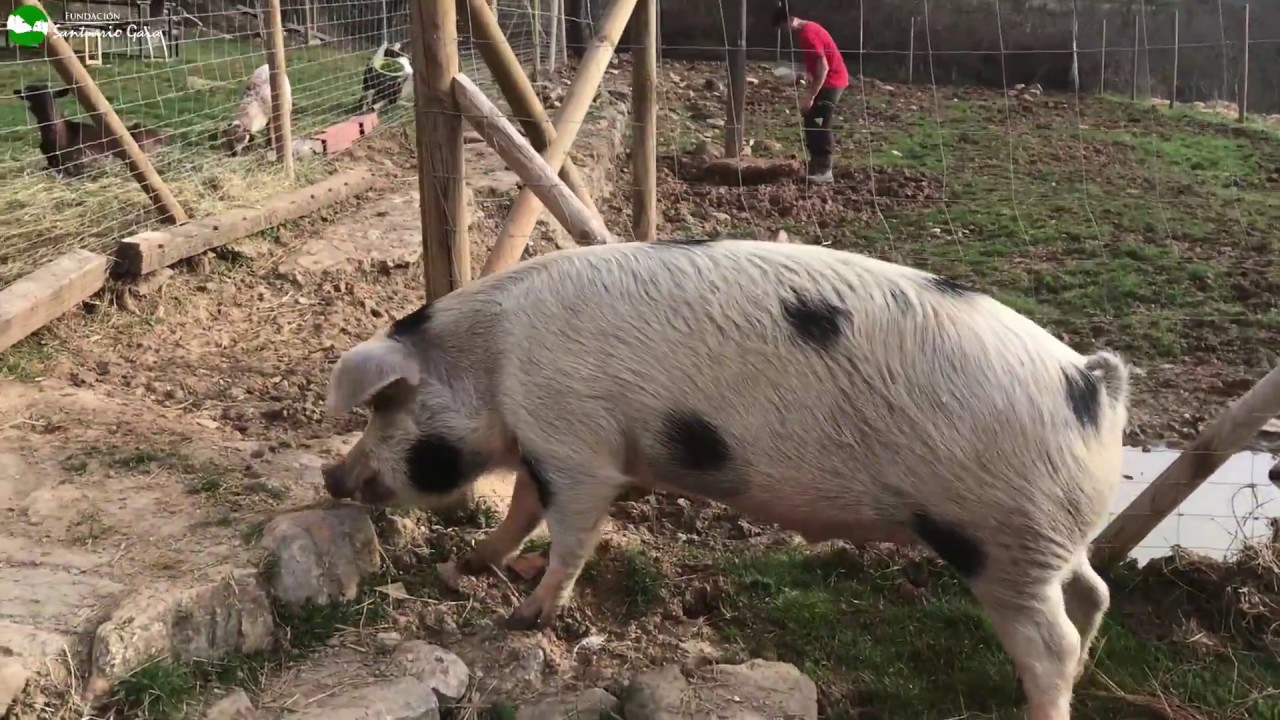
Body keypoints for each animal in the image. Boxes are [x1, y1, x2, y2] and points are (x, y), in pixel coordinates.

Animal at [322, 238, 1129, 720]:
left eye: (385, 408)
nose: (333, 476)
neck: (494, 361)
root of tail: (1091, 386)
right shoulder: (543, 441)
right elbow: (522, 508)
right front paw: (472, 562)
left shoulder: (579, 446)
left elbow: (571, 530)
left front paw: (525, 616)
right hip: (1046, 540)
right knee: (1093, 593)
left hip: (1000, 540)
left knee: (1053, 638)